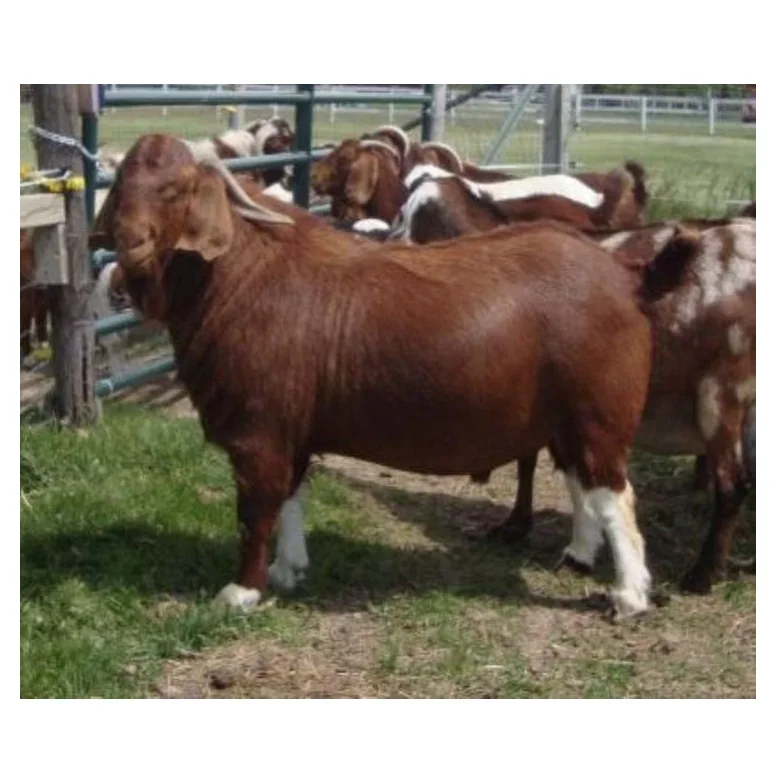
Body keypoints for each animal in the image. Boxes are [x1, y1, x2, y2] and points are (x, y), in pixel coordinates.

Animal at [90, 133, 699, 618]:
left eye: (176, 189)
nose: (129, 243)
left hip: (599, 414)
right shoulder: (294, 429)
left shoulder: (259, 431)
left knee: (615, 496)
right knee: (583, 485)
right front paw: (290, 571)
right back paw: (577, 555)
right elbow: (291, 498)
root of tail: (627, 274)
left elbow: (257, 511)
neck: (242, 274)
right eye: (120, 184)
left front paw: (242, 592)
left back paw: (630, 596)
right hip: (569, 420)